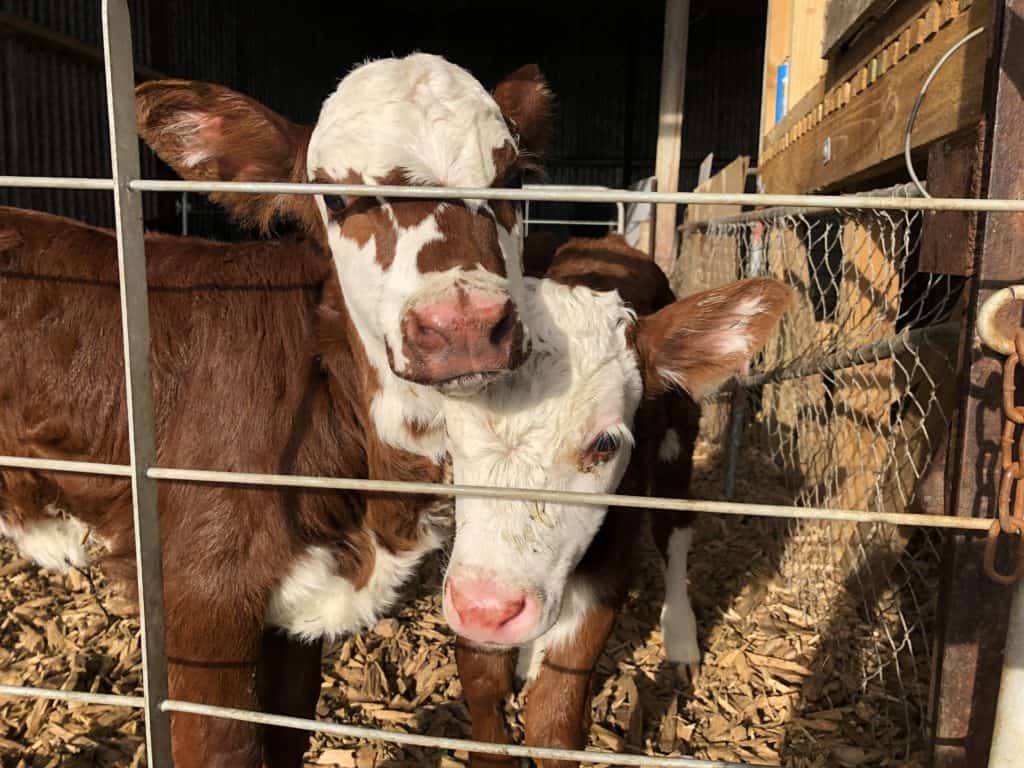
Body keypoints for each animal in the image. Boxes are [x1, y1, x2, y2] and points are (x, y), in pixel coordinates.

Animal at [441, 235, 791, 767]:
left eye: (605, 444)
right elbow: (481, 680)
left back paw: (681, 639)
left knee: (675, 531)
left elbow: (554, 714)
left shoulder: (610, 564)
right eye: (450, 428)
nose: (486, 609)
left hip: (676, 439)